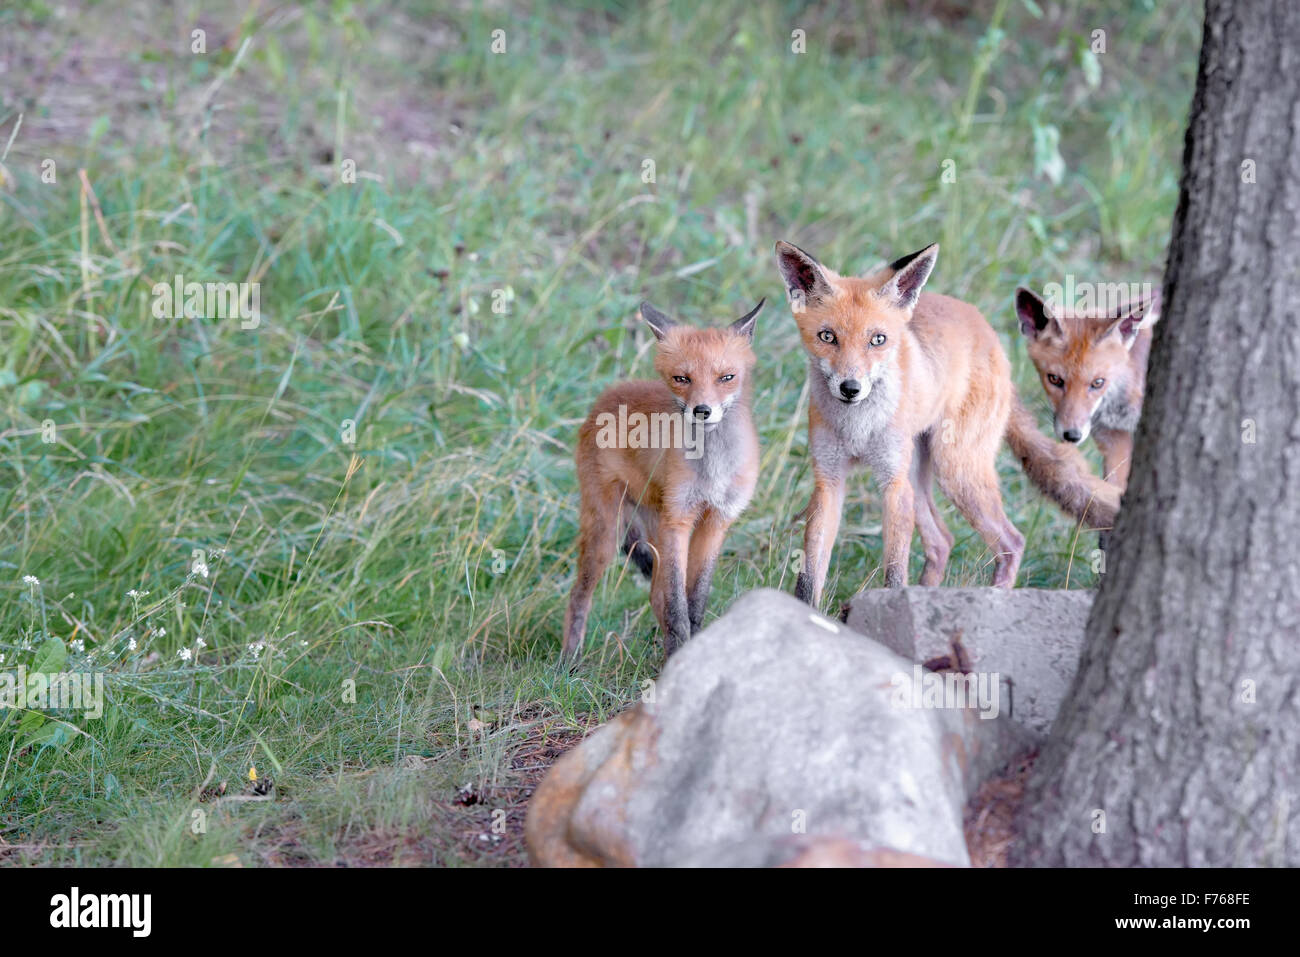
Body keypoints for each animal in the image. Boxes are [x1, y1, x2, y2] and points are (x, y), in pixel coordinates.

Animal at [561, 298, 764, 662]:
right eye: (682, 378)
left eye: (726, 377)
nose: (702, 410)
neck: (712, 470)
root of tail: (608, 394)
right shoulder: (678, 520)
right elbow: (676, 609)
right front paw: (681, 652)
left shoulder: (717, 521)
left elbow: (694, 602)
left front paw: (692, 653)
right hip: (607, 533)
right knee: (579, 595)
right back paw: (569, 662)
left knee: (655, 595)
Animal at [774, 240, 1120, 606]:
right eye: (827, 336)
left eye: (878, 340)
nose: (850, 388)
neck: (858, 428)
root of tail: (988, 331)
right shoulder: (828, 480)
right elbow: (810, 574)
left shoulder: (894, 483)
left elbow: (894, 569)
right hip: (920, 474)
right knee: (942, 542)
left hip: (954, 471)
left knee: (1012, 542)